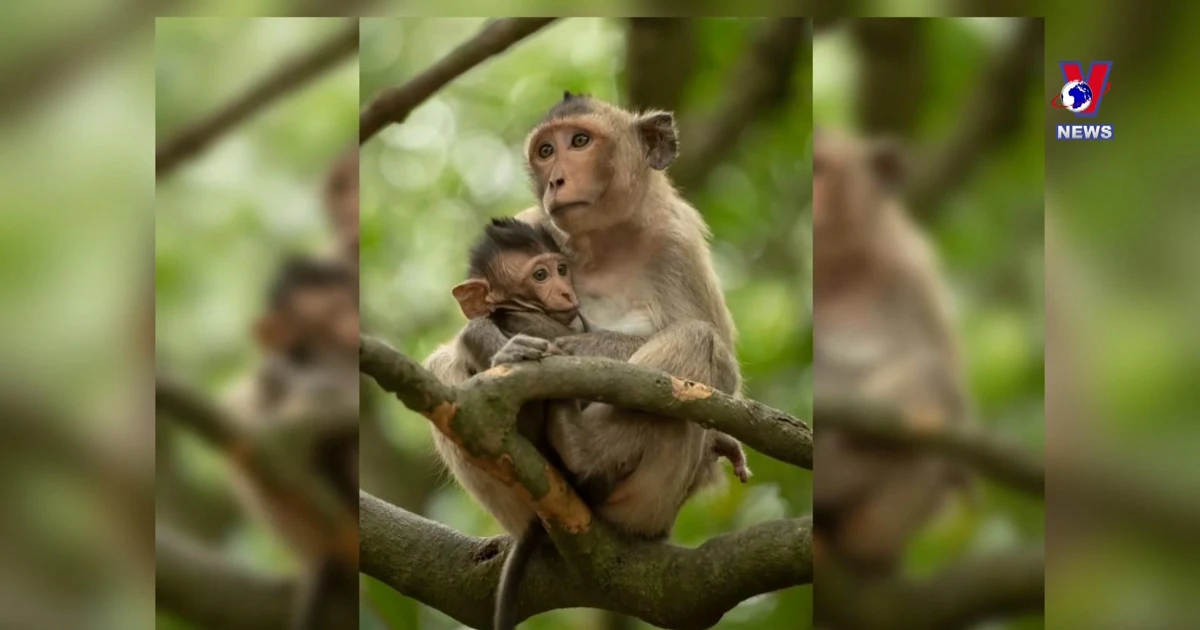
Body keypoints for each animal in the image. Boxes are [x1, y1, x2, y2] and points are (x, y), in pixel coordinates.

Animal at [421, 92, 743, 628]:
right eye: (546, 151)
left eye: (579, 141)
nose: (556, 179)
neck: (605, 244)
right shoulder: (537, 220)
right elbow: (455, 343)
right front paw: (494, 339)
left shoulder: (678, 245)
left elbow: (728, 381)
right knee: (444, 375)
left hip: (653, 506)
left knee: (697, 344)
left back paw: (583, 453)